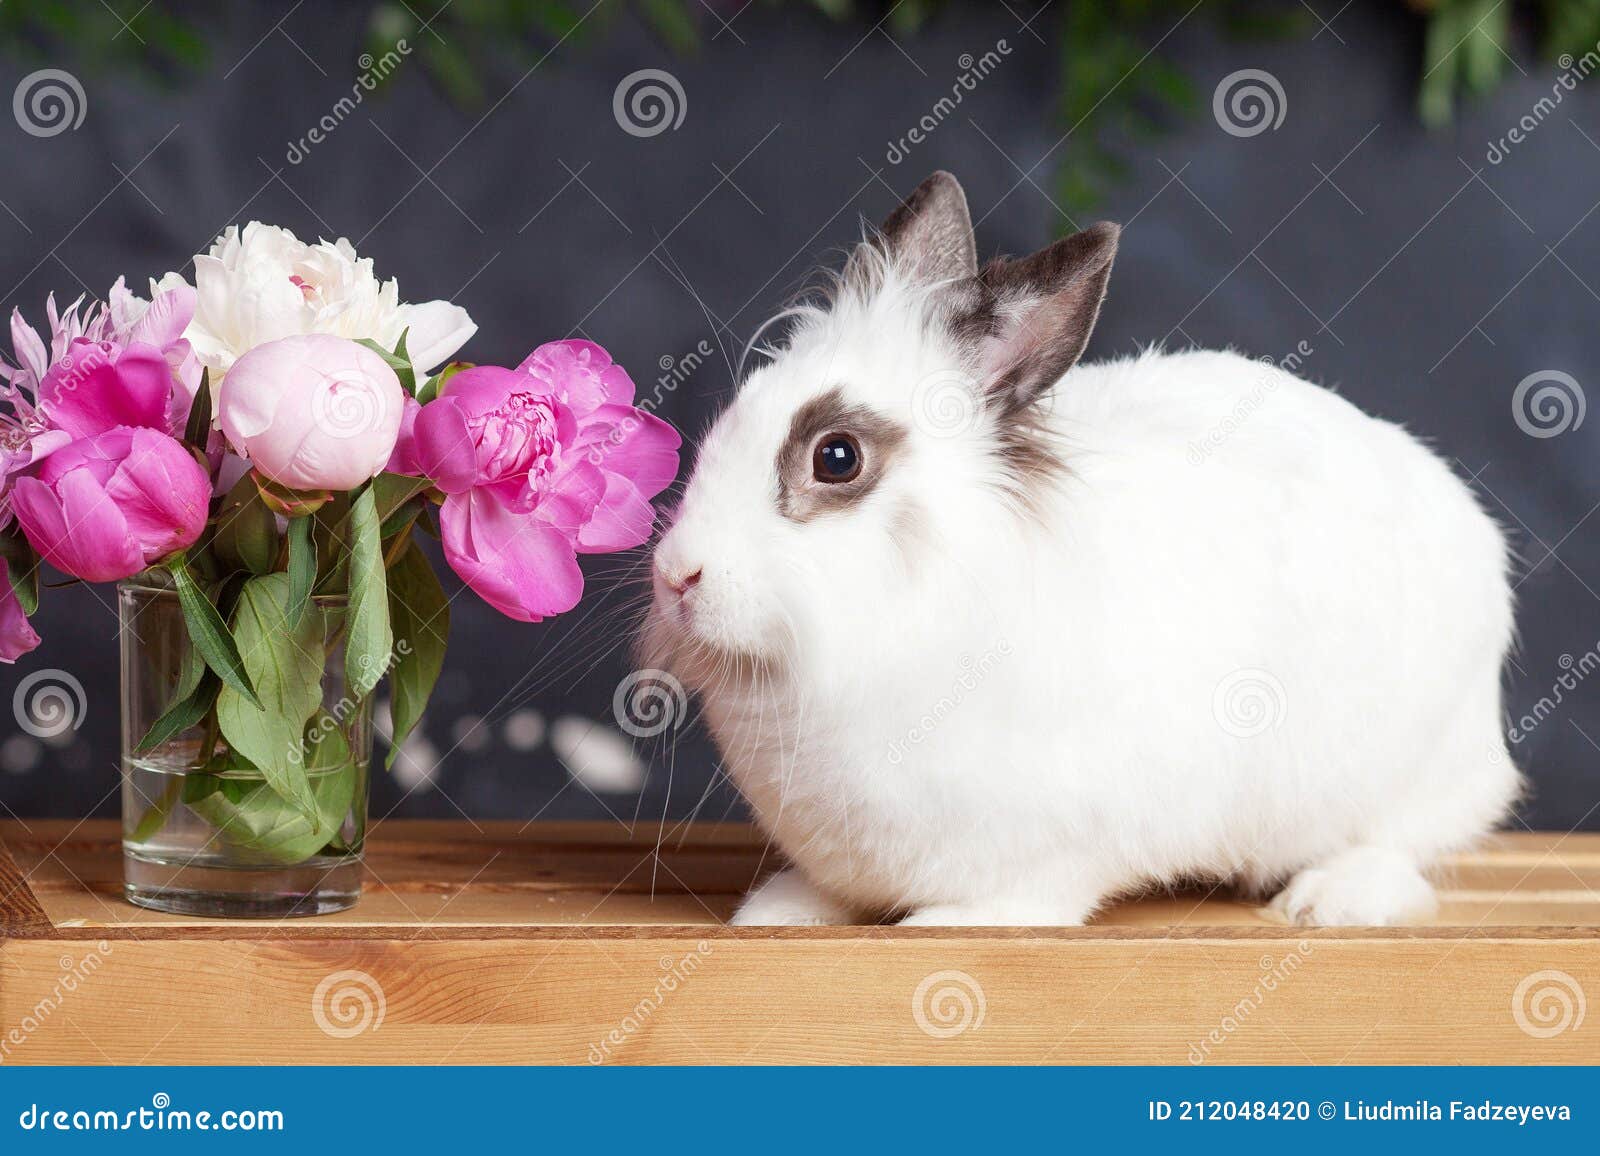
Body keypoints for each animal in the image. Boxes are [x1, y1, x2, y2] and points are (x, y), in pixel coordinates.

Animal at [641, 170, 1519, 927]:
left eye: (837, 457)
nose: (676, 575)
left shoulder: (1054, 845)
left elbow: (1022, 897)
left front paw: (950, 923)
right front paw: (779, 910)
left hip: (1406, 772)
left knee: (1402, 845)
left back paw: (1329, 900)